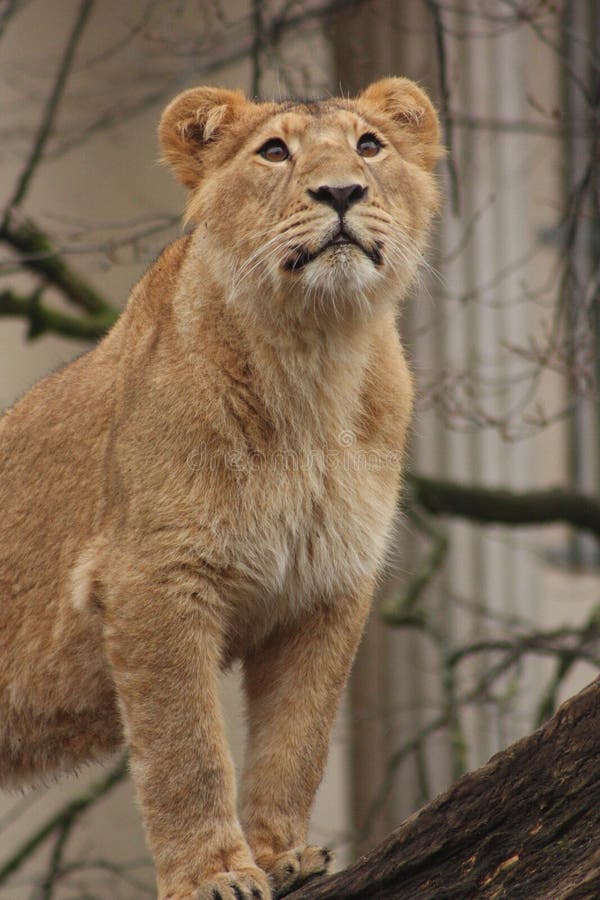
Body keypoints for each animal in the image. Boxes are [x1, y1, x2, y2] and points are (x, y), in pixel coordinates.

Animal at [0, 78, 441, 899]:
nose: (341, 191)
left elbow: (299, 740)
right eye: (274, 151)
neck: (315, 362)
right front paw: (215, 876)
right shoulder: (152, 579)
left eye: (369, 146)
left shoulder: (327, 588)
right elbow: (188, 749)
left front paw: (281, 856)